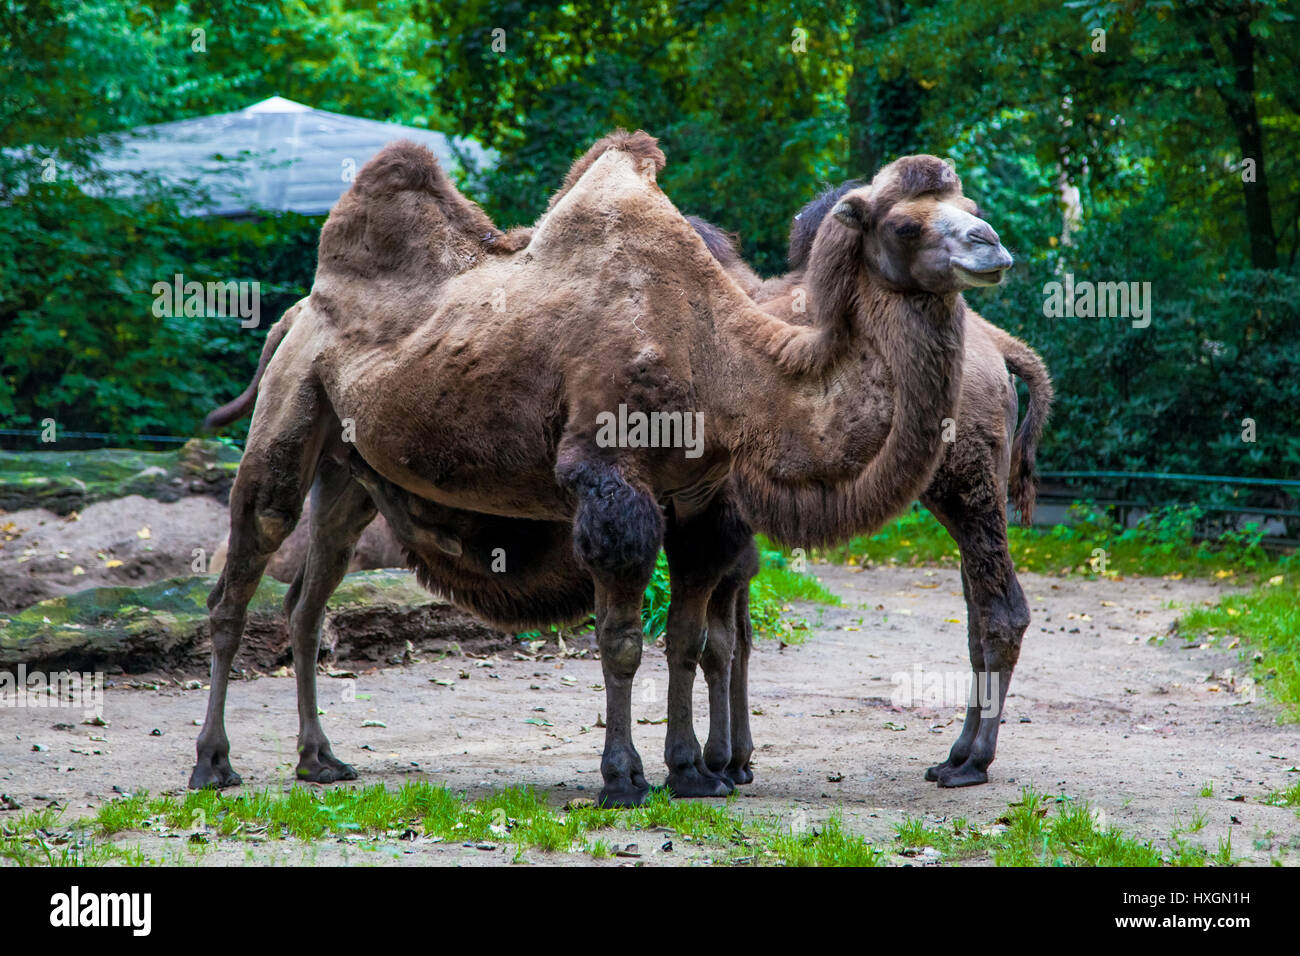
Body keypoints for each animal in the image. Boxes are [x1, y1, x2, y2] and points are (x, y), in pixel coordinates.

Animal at [190, 130, 1012, 807]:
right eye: (904, 224)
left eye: (969, 206)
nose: (993, 246)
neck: (726, 359)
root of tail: (296, 314)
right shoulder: (609, 480)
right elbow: (621, 640)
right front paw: (625, 778)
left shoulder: (700, 501)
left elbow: (688, 639)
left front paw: (693, 773)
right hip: (290, 411)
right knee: (240, 575)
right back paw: (213, 765)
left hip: (347, 469)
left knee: (308, 601)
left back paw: (319, 761)